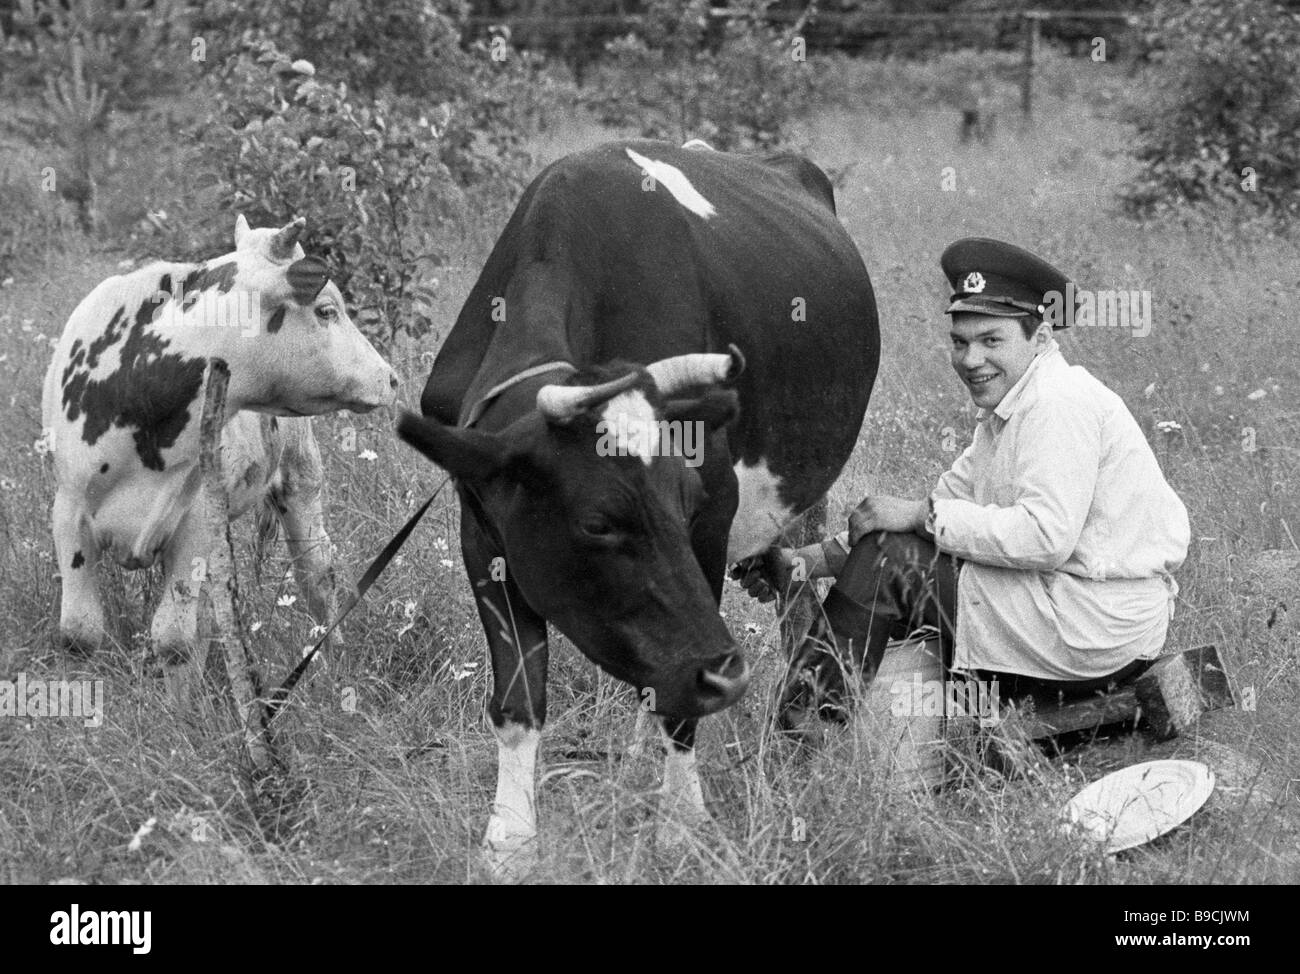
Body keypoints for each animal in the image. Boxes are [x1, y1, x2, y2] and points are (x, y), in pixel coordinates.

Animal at [41, 216, 399, 706]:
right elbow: (79, 632)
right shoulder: (69, 508)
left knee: (317, 575)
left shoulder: (194, 521)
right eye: (327, 310)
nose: (391, 378)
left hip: (301, 482)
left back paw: (334, 658)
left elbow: (174, 637)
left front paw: (180, 714)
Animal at [397, 140, 879, 876]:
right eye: (598, 522)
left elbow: (681, 704)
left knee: (798, 591)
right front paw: (510, 841)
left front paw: (681, 825)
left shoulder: (713, 521)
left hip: (809, 490)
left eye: (686, 502)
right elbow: (518, 698)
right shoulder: (483, 533)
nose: (729, 673)